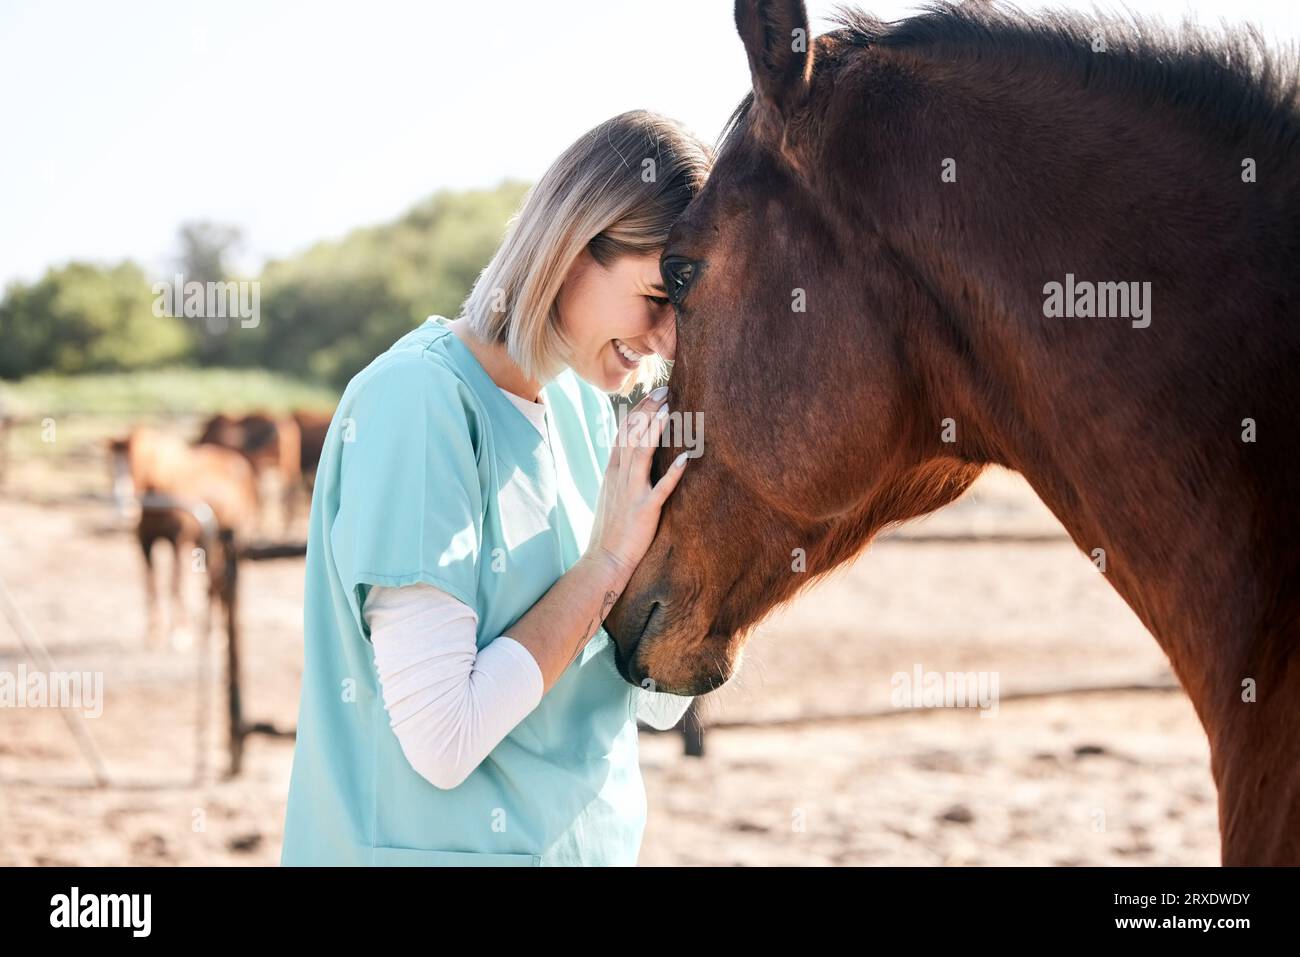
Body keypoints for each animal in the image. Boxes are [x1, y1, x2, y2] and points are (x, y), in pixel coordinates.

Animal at [109, 427, 259, 648]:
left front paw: (180, 633)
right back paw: (214, 630)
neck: (160, 489)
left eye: (137, 465)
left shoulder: (179, 542)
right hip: (209, 543)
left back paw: (218, 633)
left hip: (232, 540)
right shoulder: (145, 543)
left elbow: (175, 584)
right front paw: (153, 634)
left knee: (219, 580)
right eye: (110, 467)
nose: (124, 511)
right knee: (215, 579)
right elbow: (151, 585)